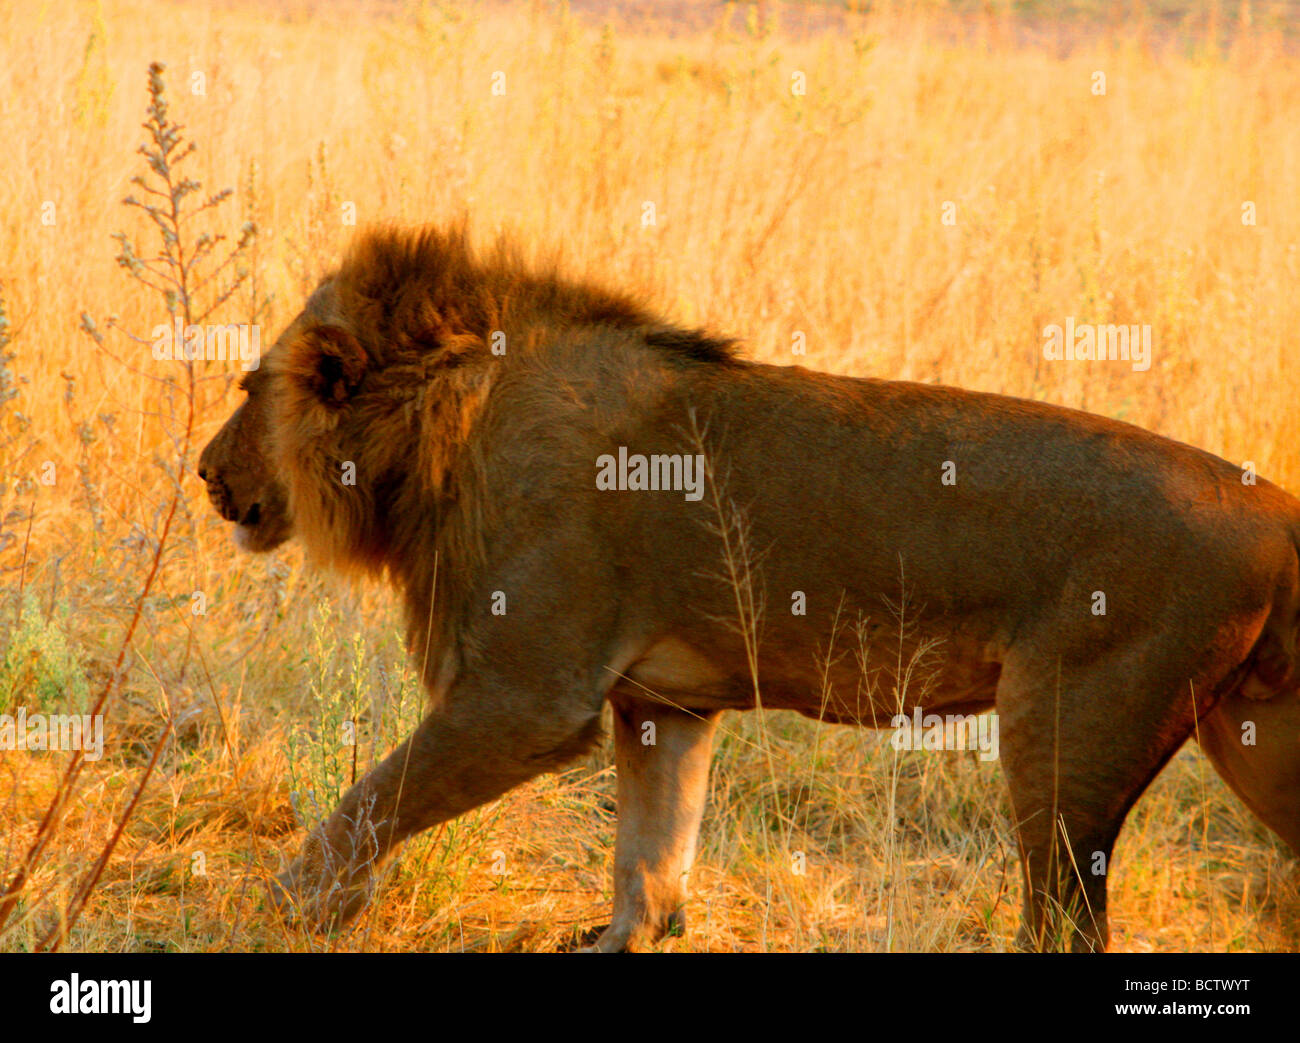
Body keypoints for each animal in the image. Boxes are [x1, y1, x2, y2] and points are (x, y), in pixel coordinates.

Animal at [198, 225, 1300, 952]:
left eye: (249, 389)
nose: (207, 475)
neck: (446, 426)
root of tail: (1277, 509)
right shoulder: (663, 706)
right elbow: (649, 864)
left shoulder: (523, 700)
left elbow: (366, 804)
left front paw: (279, 908)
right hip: (1254, 738)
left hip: (1069, 726)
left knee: (1065, 924)